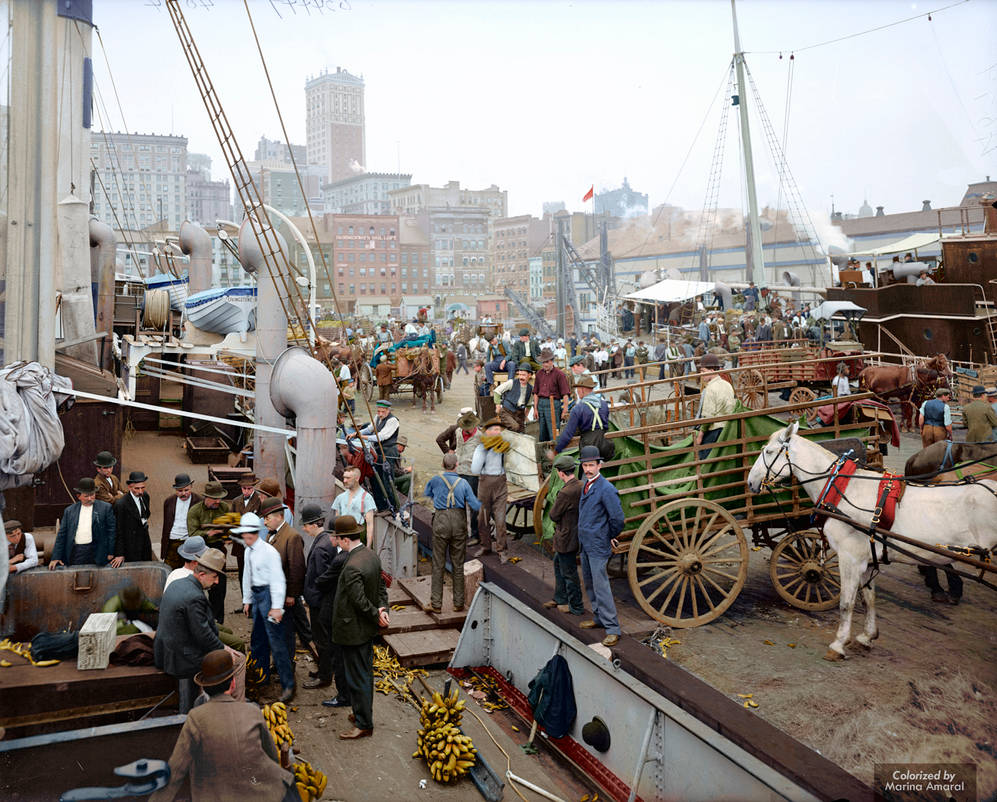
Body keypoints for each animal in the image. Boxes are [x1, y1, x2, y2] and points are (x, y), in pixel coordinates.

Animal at [748, 422, 996, 660]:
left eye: (768, 451)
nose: (750, 482)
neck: (844, 490)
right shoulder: (866, 558)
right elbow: (868, 598)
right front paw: (868, 636)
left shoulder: (849, 557)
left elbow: (846, 603)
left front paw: (838, 644)